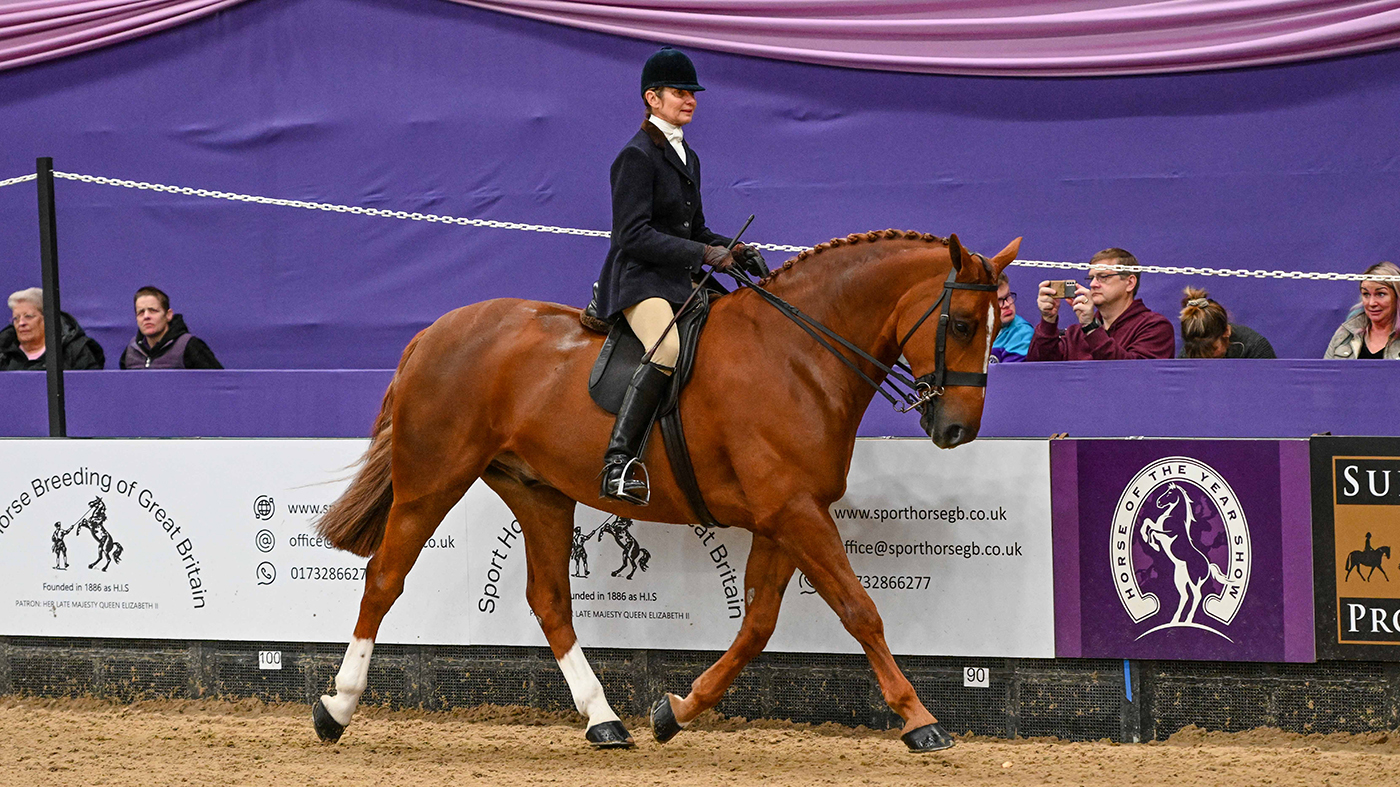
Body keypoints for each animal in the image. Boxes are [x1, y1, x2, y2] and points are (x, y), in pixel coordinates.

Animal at [312, 229, 1020, 752]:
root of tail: (433, 332)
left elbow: (757, 624)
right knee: (385, 578)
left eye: (995, 326)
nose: (957, 430)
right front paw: (922, 723)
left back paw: (605, 721)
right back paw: (336, 709)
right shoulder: (795, 511)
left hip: (538, 491)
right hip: (433, 480)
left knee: (550, 601)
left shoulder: (785, 515)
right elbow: (860, 610)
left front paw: (675, 711)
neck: (798, 354)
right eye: (961, 324)